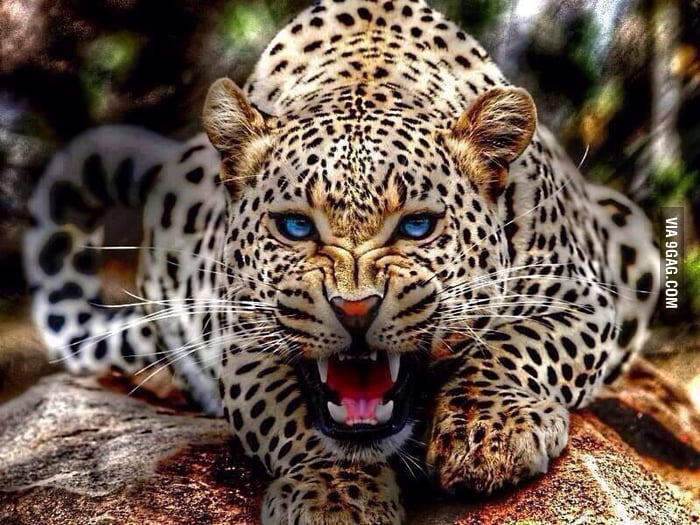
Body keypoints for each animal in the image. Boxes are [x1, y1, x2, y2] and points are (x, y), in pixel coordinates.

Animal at [23, 0, 660, 522]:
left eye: (417, 226)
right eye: (296, 227)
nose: (355, 310)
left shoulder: (582, 297)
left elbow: (518, 347)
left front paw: (490, 435)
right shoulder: (238, 338)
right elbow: (293, 416)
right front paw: (333, 493)